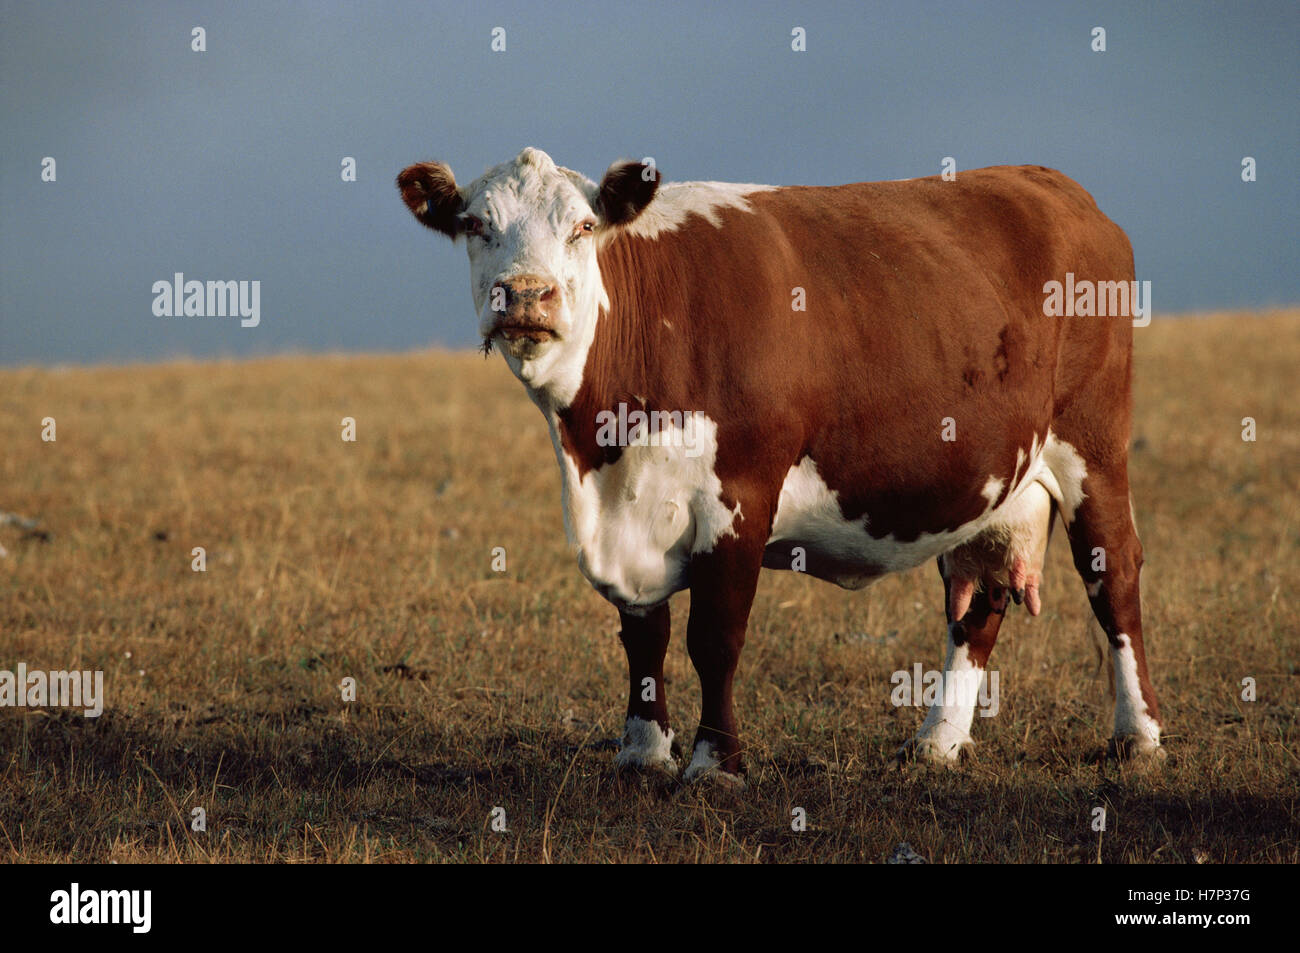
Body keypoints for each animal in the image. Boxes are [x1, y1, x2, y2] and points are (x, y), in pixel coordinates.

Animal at [396, 147, 1162, 786]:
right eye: (475, 224)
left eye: (584, 227)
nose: (526, 294)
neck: (601, 449)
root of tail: (1053, 184)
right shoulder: (627, 513)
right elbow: (643, 635)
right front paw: (642, 752)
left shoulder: (740, 494)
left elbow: (714, 637)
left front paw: (714, 765)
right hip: (992, 476)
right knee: (979, 601)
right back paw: (937, 741)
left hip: (1092, 444)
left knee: (1113, 573)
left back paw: (1138, 735)